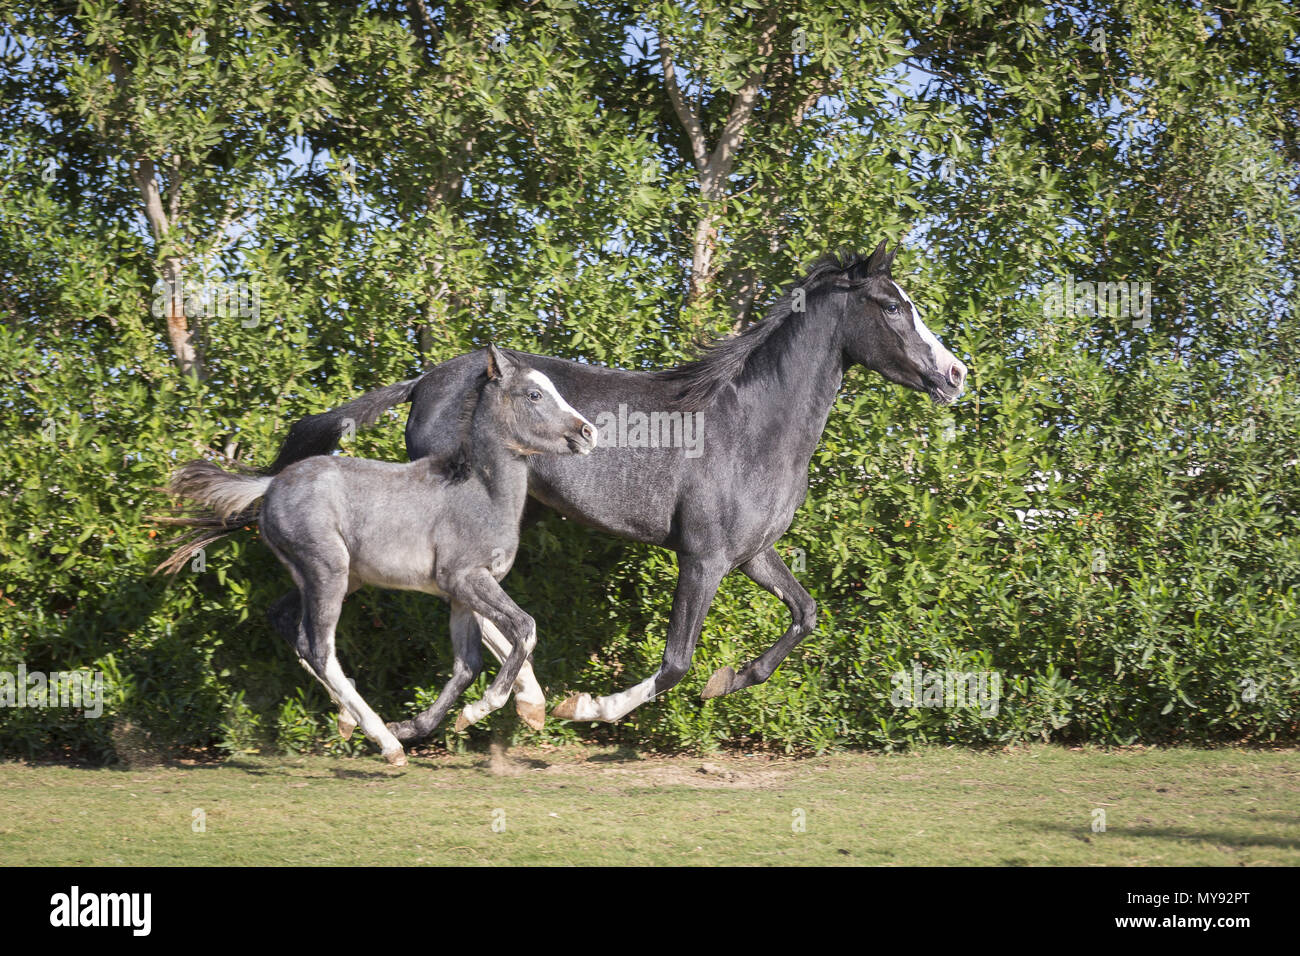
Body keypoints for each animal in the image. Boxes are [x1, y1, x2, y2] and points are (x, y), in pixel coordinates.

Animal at [158, 346, 597, 763]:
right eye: (535, 394)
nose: (588, 432)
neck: (481, 494)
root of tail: (269, 486)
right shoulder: (465, 579)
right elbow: (524, 628)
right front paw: (482, 711)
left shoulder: (460, 594)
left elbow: (467, 665)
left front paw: (436, 722)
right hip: (327, 572)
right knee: (319, 648)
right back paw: (387, 745)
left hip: (330, 577)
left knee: (289, 625)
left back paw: (355, 722)